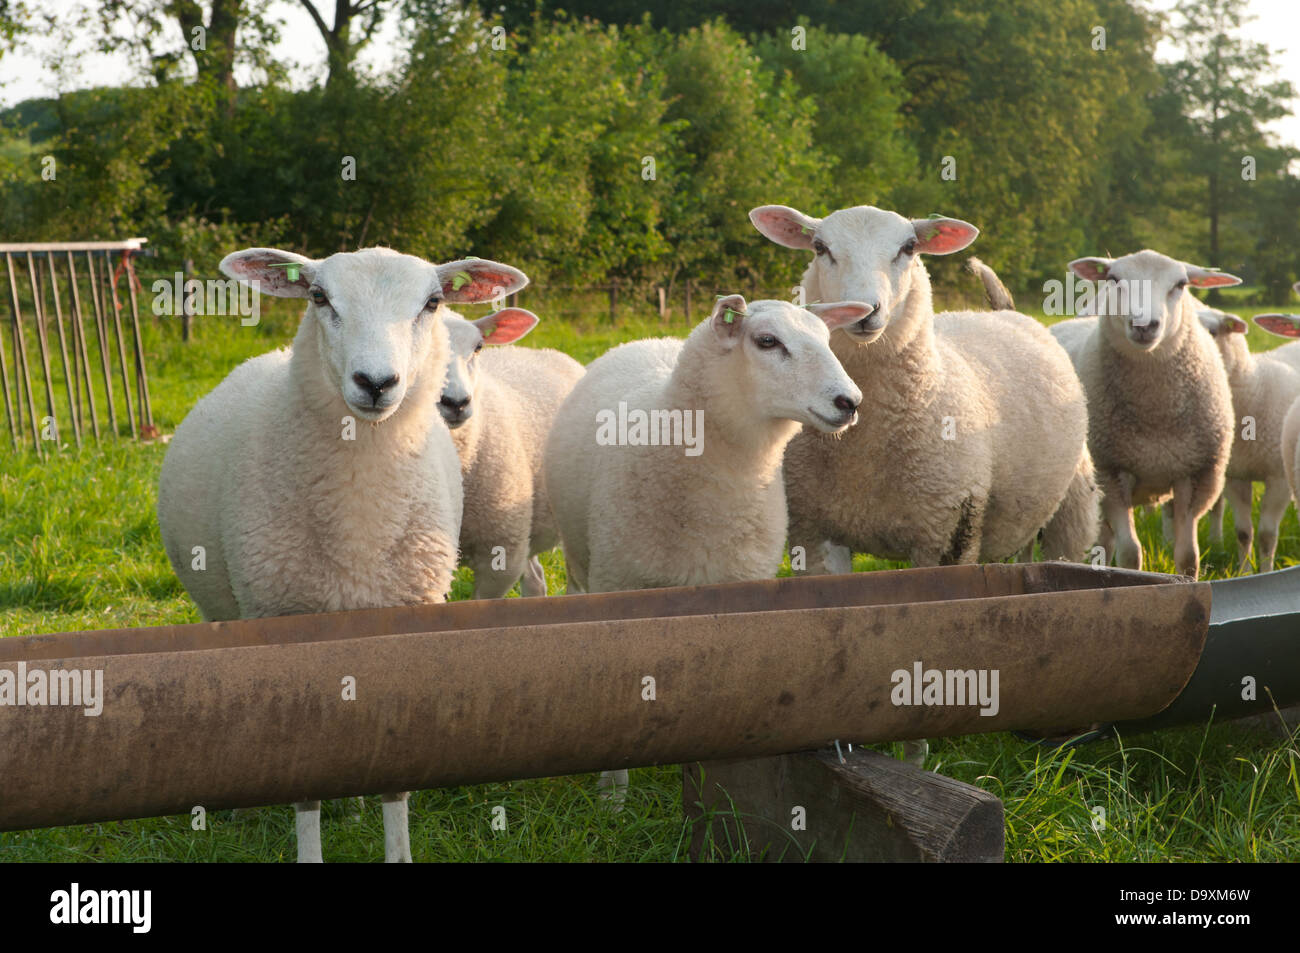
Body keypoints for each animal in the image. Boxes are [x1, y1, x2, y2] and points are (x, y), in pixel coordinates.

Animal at [157, 247, 528, 863]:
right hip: (222, 608)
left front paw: (396, 848)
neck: (360, 516)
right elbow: (304, 782)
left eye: (432, 302)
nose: (376, 382)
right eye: (318, 297)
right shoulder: (282, 620)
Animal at [543, 294, 867, 797]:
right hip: (581, 556)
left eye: (827, 338)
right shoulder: (618, 580)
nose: (849, 402)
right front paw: (613, 795)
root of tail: (647, 338)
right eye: (767, 341)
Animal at [1060, 251, 1239, 578]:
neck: (1155, 411)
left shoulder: (1197, 474)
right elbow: (1130, 553)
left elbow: (1188, 556)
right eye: (1113, 279)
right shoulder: (1109, 472)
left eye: (1181, 284)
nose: (1144, 325)